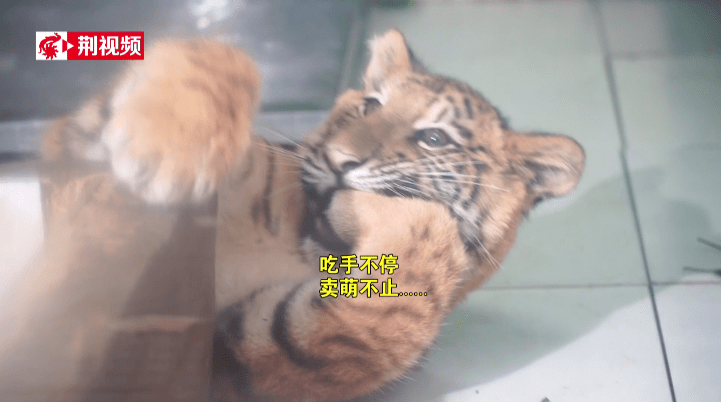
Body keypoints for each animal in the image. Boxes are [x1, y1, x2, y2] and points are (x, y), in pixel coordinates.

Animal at [35, 29, 584, 401]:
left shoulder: (237, 355)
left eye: (433, 138)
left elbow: (398, 313)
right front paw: (166, 146)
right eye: (369, 106)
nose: (340, 163)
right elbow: (226, 57)